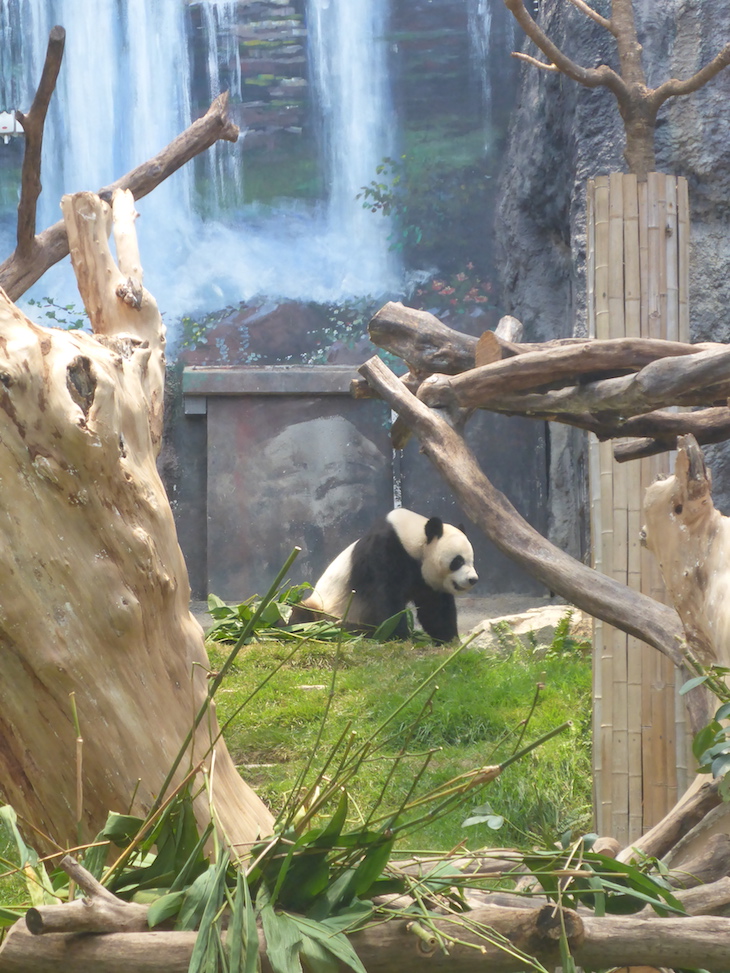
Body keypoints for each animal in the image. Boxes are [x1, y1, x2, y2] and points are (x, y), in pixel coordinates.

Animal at [294, 508, 478, 642]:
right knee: (300, 614)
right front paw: (398, 635)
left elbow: (435, 607)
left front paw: (450, 639)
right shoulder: (385, 551)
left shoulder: (425, 579)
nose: (473, 579)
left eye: (472, 560)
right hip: (326, 609)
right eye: (458, 561)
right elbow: (387, 596)